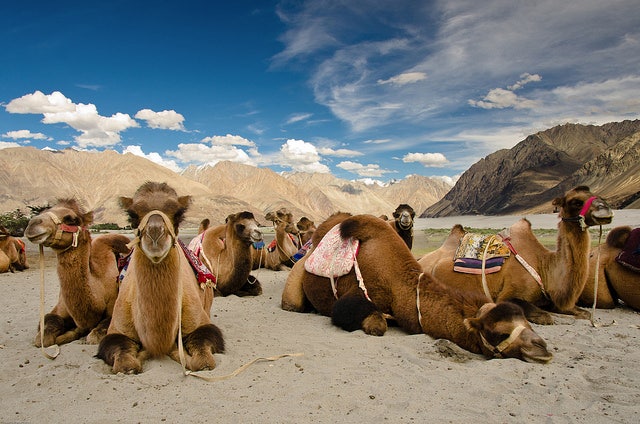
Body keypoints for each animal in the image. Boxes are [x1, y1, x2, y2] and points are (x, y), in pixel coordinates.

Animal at [24, 199, 130, 346]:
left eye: (71, 219)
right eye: (43, 211)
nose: (32, 224)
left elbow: (94, 335)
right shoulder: (59, 307)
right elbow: (44, 333)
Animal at [96, 182, 224, 374]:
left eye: (178, 214)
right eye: (132, 215)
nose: (155, 233)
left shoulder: (201, 323)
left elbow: (203, 360)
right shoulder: (117, 330)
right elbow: (125, 363)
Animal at [281, 212, 552, 363]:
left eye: (527, 324)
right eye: (500, 332)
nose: (542, 346)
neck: (399, 284)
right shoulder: (351, 298)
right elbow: (376, 324)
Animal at [418, 186, 614, 324]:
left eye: (596, 194)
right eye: (576, 201)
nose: (605, 209)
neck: (544, 266)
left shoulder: (553, 298)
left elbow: (584, 313)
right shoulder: (508, 295)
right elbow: (545, 316)